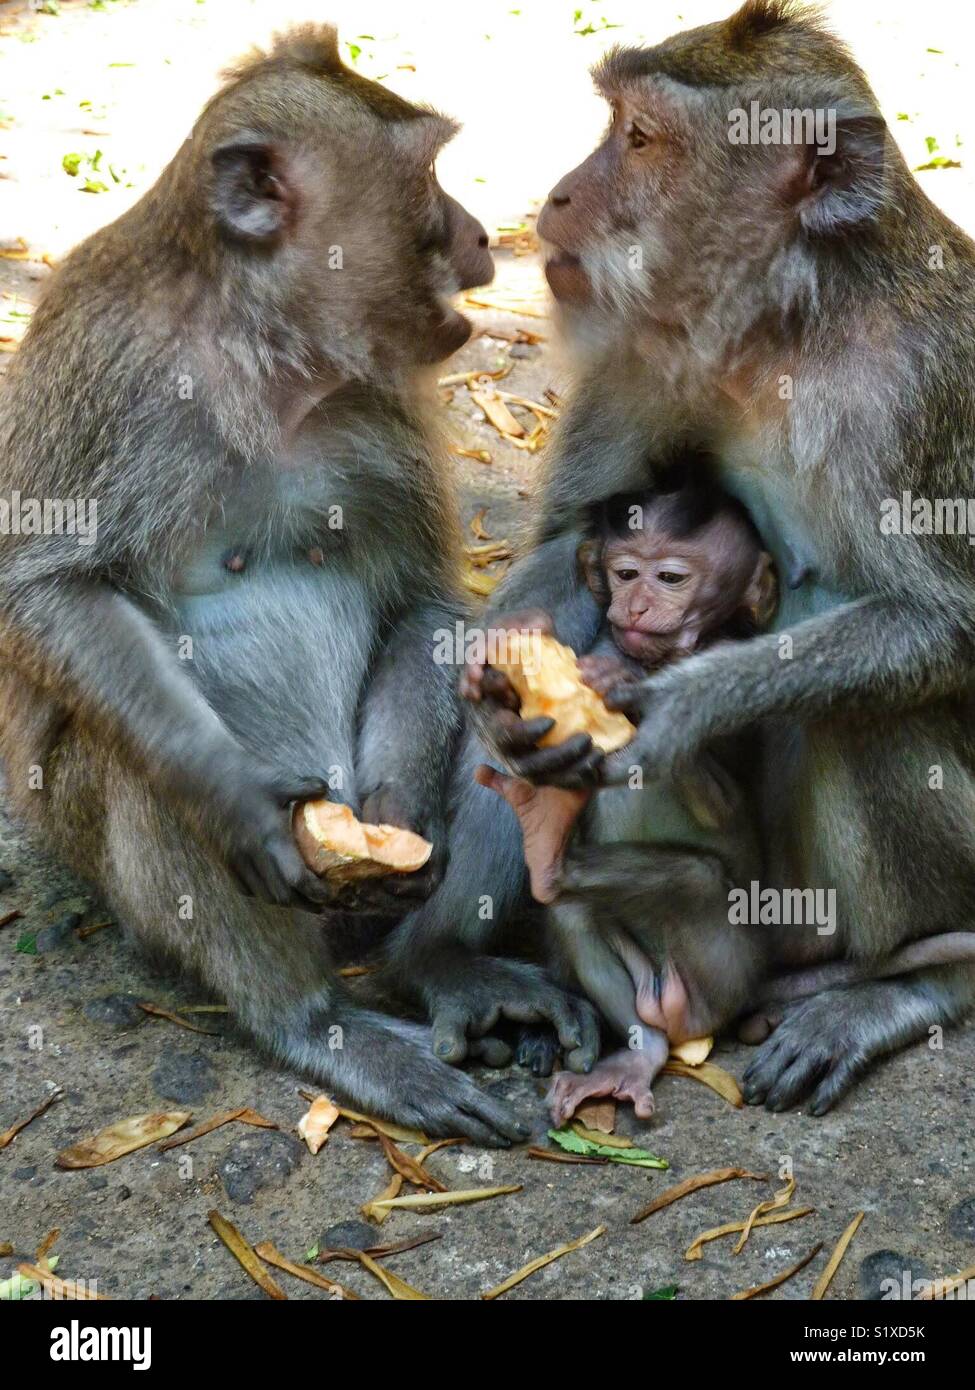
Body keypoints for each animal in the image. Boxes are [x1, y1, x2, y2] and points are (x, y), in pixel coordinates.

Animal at [0, 26, 595, 1144]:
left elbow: (422, 605)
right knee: (132, 765)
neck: (261, 350)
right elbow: (50, 596)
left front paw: (398, 815)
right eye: (427, 180)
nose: (479, 232)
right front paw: (234, 796)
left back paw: (439, 963)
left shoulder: (388, 399)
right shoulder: (100, 360)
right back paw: (319, 1025)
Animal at [463, 0, 975, 1116]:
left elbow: (948, 624)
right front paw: (495, 688)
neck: (788, 326)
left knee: (867, 714)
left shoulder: (915, 394)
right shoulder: (641, 348)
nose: (559, 194)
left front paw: (679, 705)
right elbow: (570, 538)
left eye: (641, 140)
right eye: (615, 125)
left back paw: (907, 988)